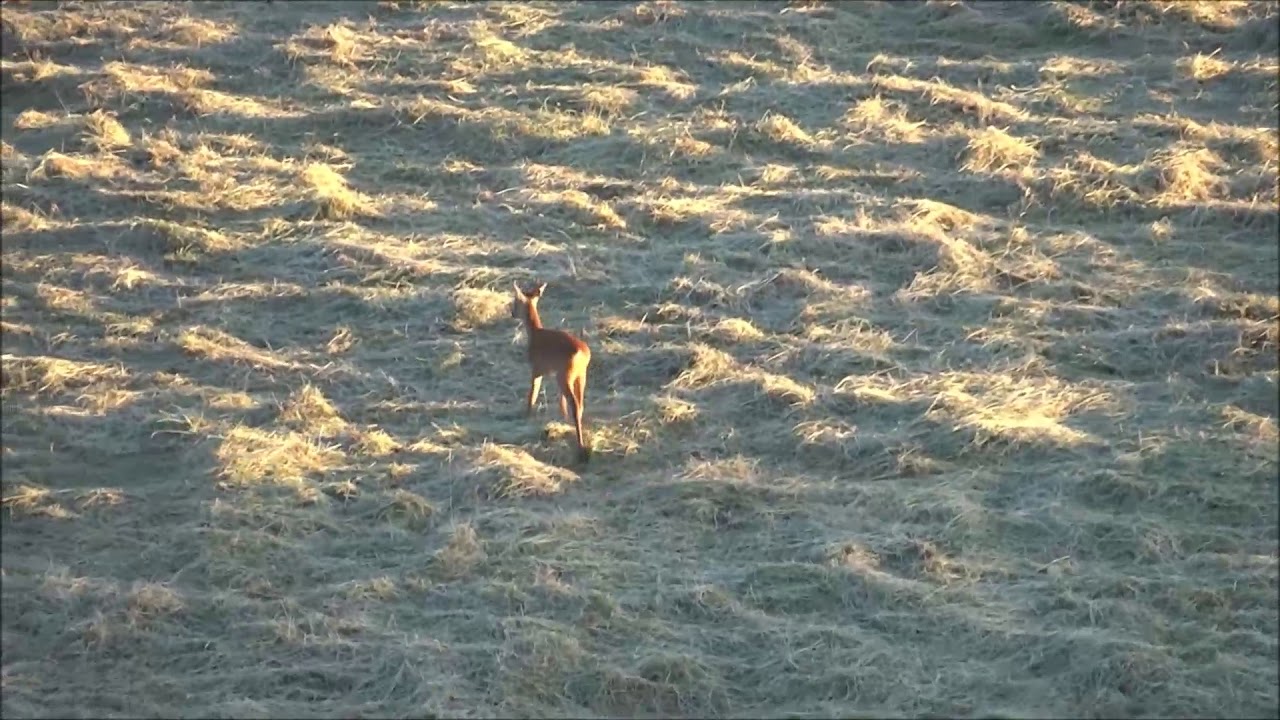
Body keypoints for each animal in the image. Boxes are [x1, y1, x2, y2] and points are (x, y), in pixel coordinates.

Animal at [510, 281, 592, 462]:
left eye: (515, 302)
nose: (512, 313)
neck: (535, 333)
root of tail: (583, 353)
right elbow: (560, 401)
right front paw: (562, 418)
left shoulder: (536, 369)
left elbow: (532, 395)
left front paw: (526, 416)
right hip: (580, 375)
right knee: (580, 404)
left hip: (565, 375)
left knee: (575, 404)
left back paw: (580, 448)